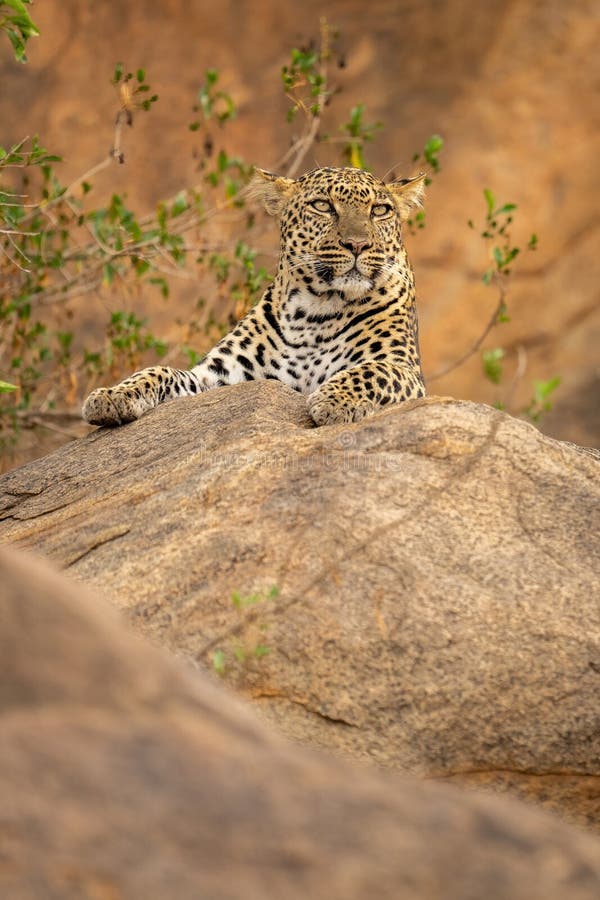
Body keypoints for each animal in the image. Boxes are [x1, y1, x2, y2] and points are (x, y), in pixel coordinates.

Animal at [83, 165, 427, 429]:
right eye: (323, 206)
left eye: (380, 211)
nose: (357, 244)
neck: (316, 311)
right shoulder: (220, 379)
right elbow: (159, 370)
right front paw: (112, 396)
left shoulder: (408, 372)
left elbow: (374, 371)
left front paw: (332, 400)